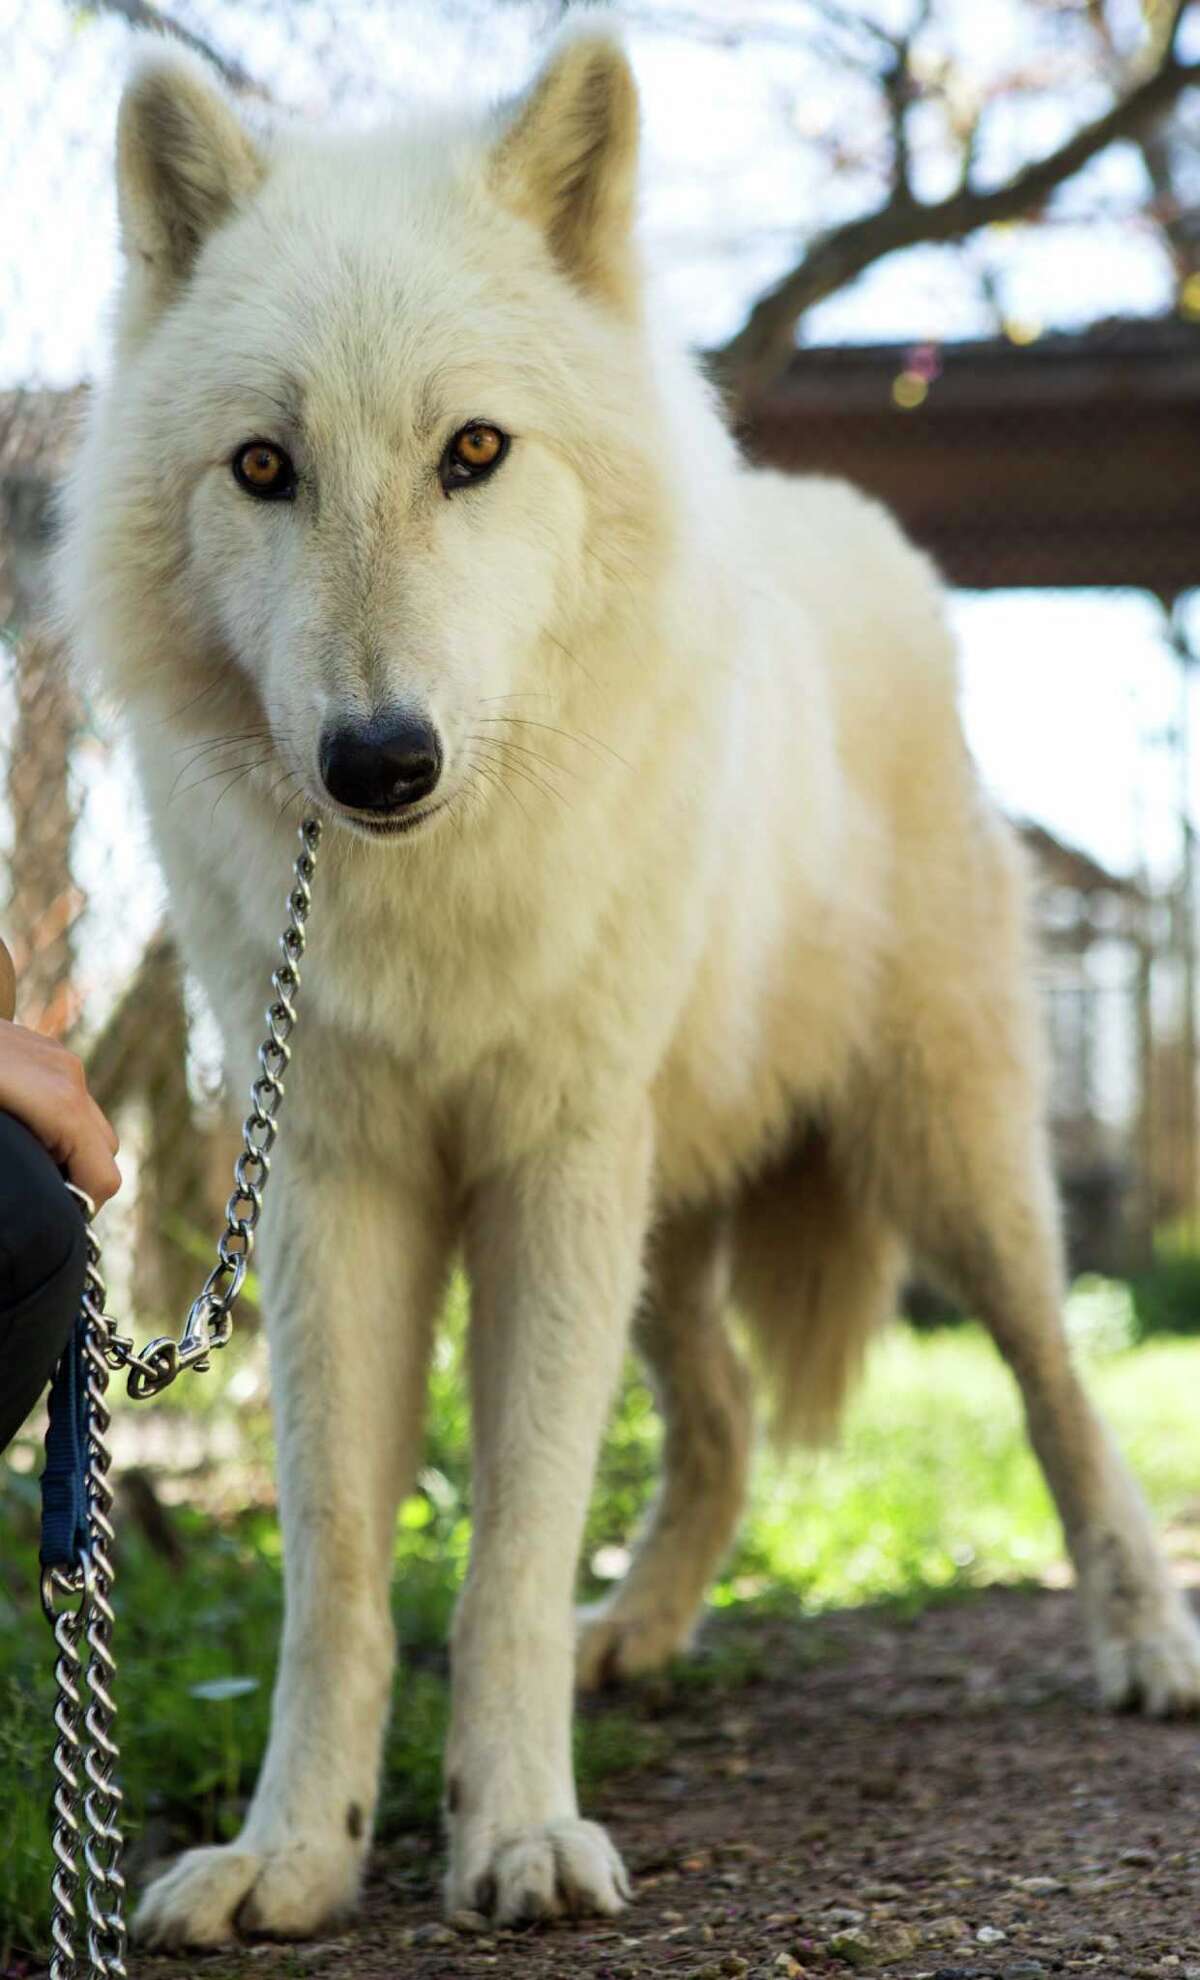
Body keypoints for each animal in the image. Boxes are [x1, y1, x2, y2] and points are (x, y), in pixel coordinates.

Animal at [59, 26, 1200, 1949]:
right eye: (264, 467)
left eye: (474, 450)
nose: (377, 759)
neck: (430, 897)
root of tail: (845, 518)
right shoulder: (340, 1181)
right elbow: (338, 1555)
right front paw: (300, 1855)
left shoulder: (548, 1161)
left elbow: (512, 1542)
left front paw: (516, 1829)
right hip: (658, 1216)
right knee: (725, 1433)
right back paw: (640, 1639)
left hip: (933, 1170)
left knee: (1061, 1390)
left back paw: (1142, 1642)